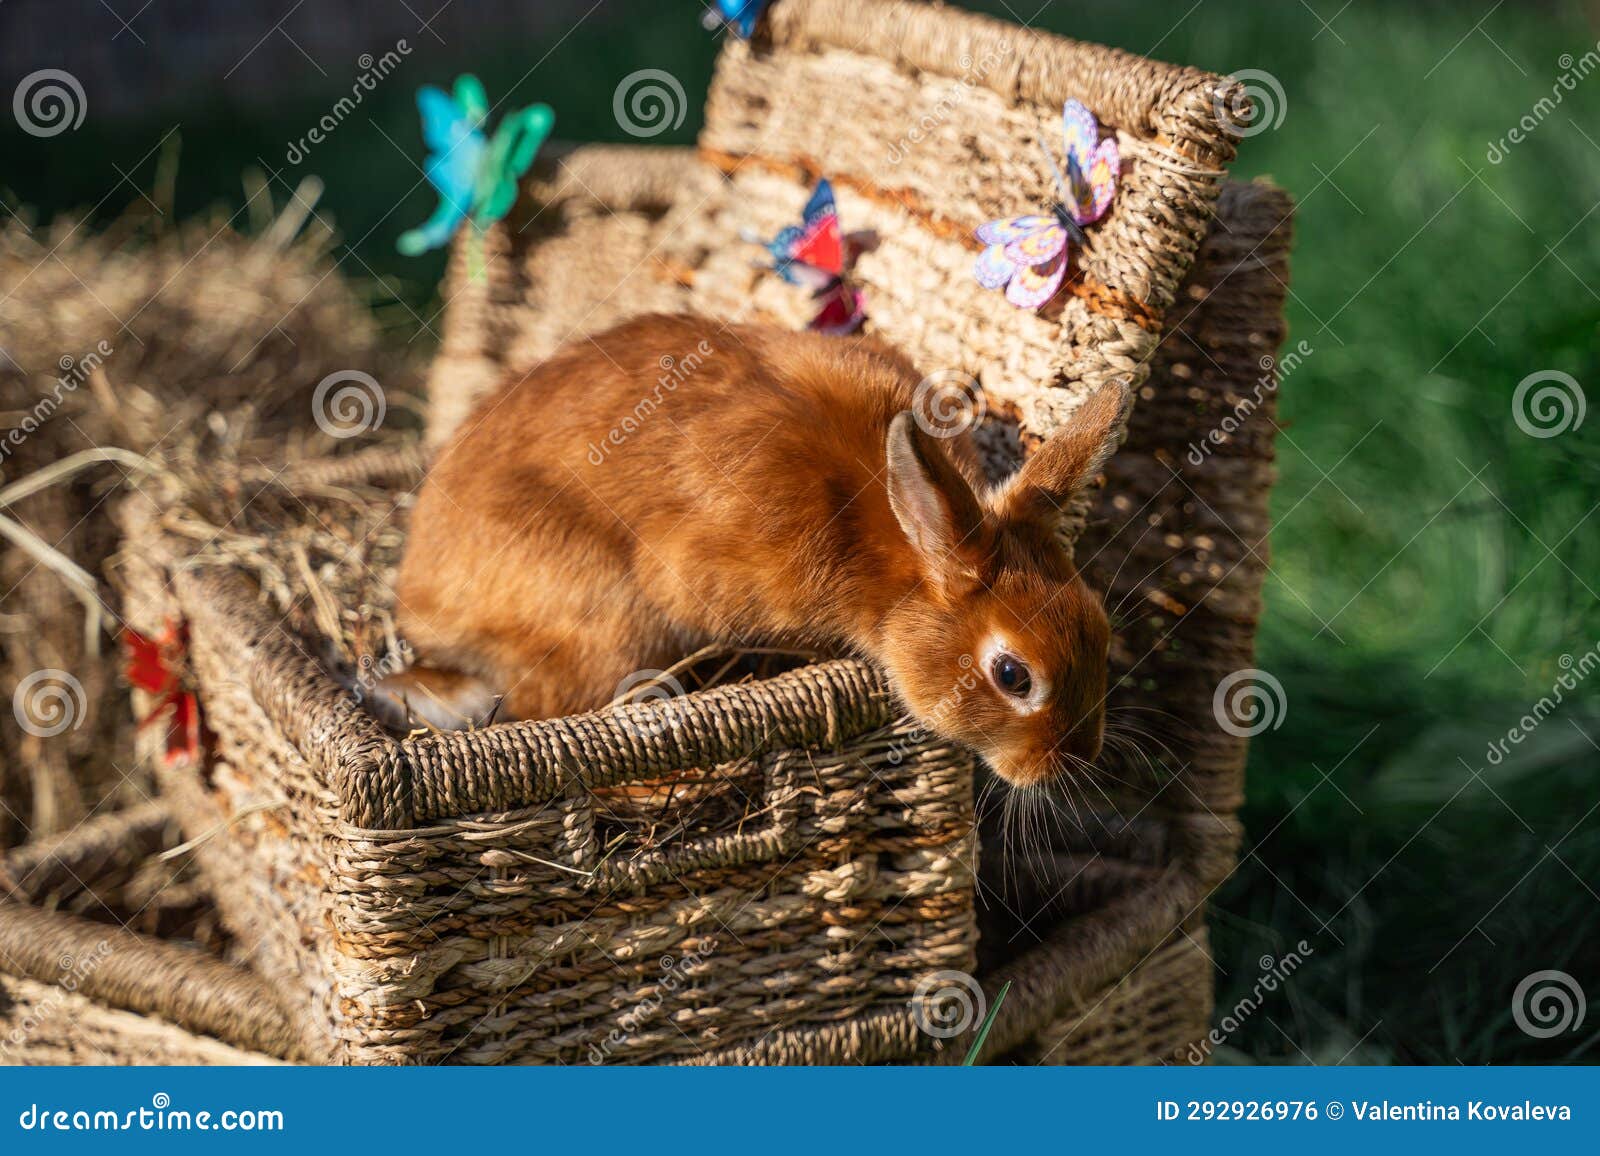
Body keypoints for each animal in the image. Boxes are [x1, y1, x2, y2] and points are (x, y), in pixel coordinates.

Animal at [378, 312, 1121, 787]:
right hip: (608, 626)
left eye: (1101, 629)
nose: (1075, 759)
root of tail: (417, 603)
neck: (886, 547)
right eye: (1013, 675)